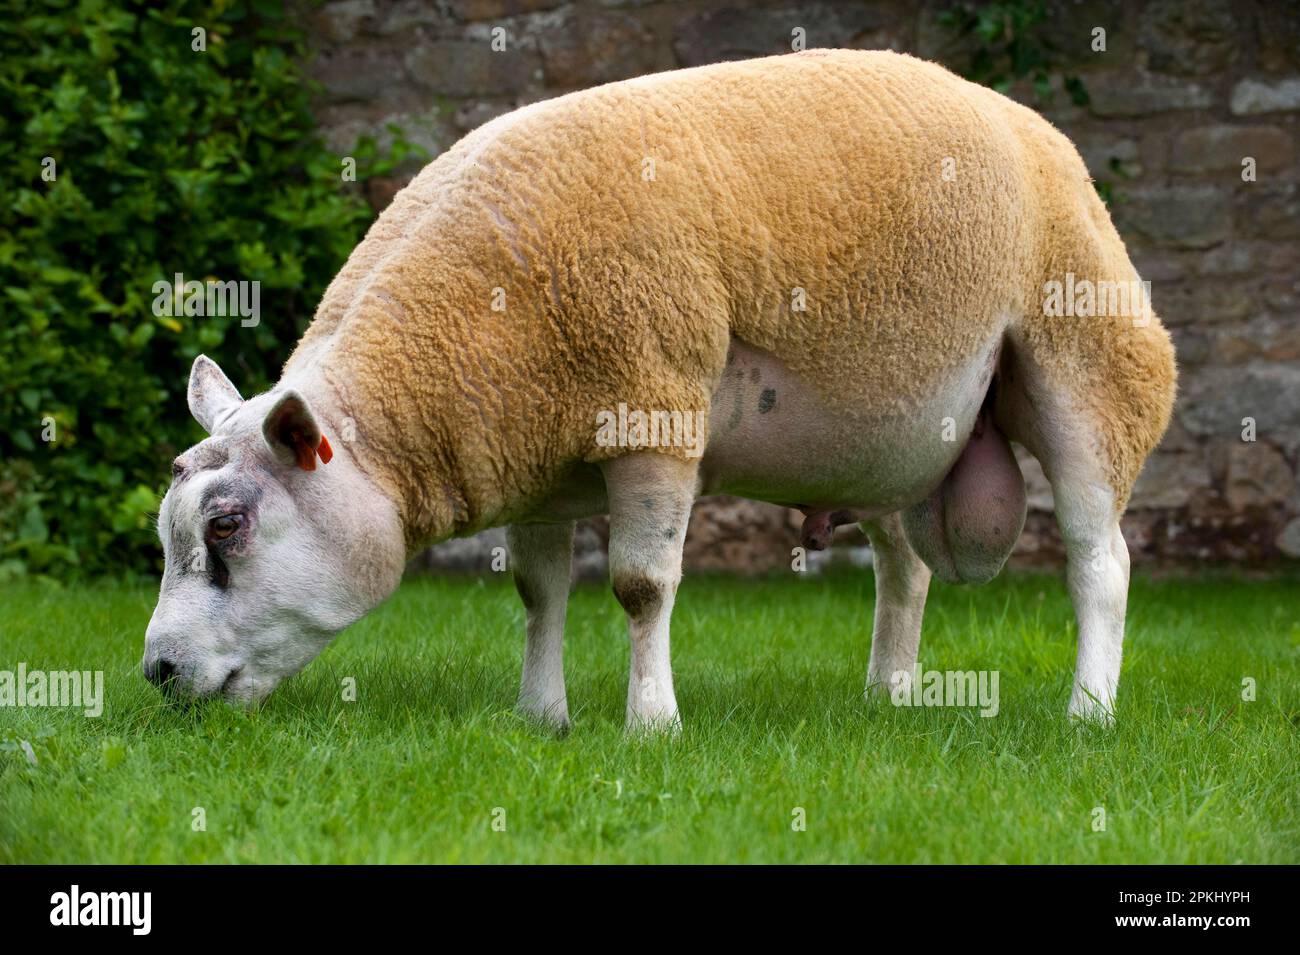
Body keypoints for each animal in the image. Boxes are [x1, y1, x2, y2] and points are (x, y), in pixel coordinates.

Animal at [144, 49, 1176, 733]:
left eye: (227, 525)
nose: (156, 669)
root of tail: (1030, 125)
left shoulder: (654, 415)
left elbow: (642, 586)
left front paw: (652, 725)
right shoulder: (537, 454)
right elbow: (538, 590)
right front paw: (541, 717)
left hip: (1091, 362)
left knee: (1100, 561)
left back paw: (1089, 712)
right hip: (896, 437)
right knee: (906, 569)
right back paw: (889, 694)